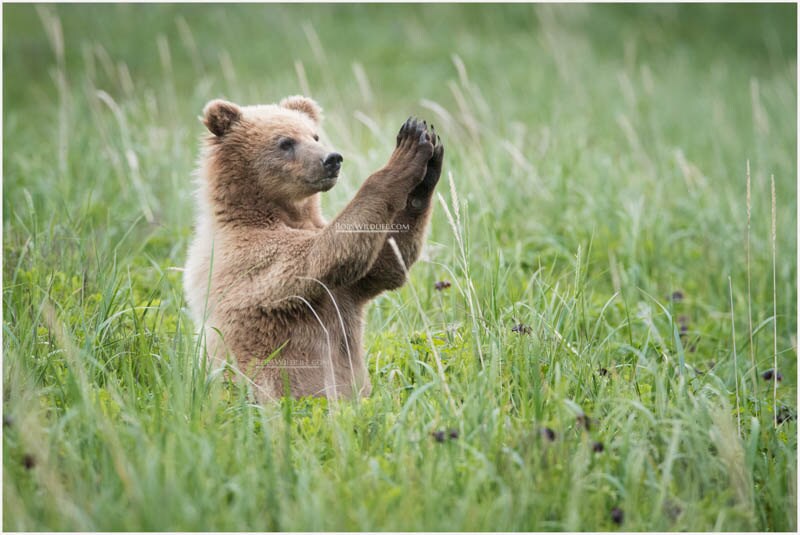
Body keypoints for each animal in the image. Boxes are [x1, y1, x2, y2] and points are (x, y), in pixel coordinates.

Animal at [183, 95, 444, 401]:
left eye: (314, 135)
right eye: (285, 142)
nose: (332, 159)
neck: (282, 214)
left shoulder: (346, 290)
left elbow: (386, 263)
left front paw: (429, 160)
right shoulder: (254, 260)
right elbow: (326, 255)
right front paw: (407, 150)